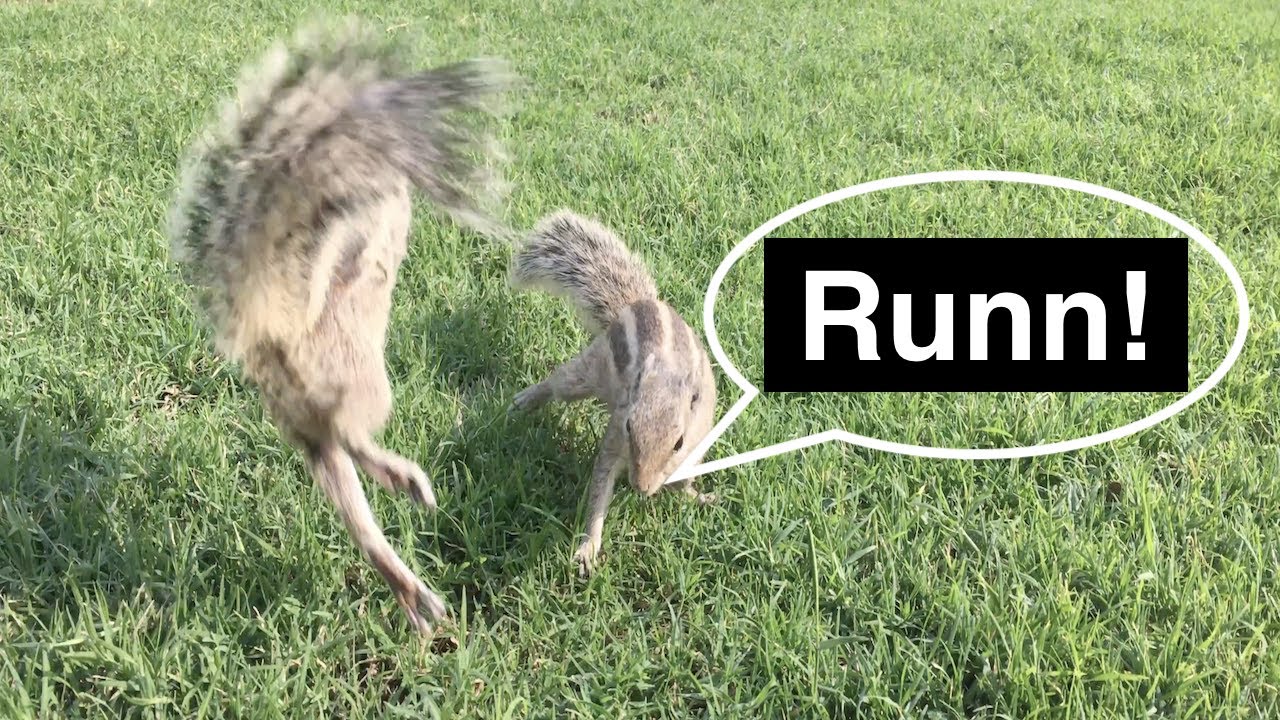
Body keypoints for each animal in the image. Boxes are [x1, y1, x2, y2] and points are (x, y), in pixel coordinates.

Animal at [165, 16, 514, 634]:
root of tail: (270, 335)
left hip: (308, 432)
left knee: (355, 505)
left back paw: (413, 591)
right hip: (358, 382)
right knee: (352, 434)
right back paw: (404, 482)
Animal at [509, 211, 718, 575]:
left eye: (678, 442)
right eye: (629, 427)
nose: (640, 488)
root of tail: (633, 304)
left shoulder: (695, 442)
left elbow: (683, 481)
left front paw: (698, 497)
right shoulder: (615, 438)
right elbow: (600, 487)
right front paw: (588, 547)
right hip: (587, 372)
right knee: (558, 383)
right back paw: (527, 400)